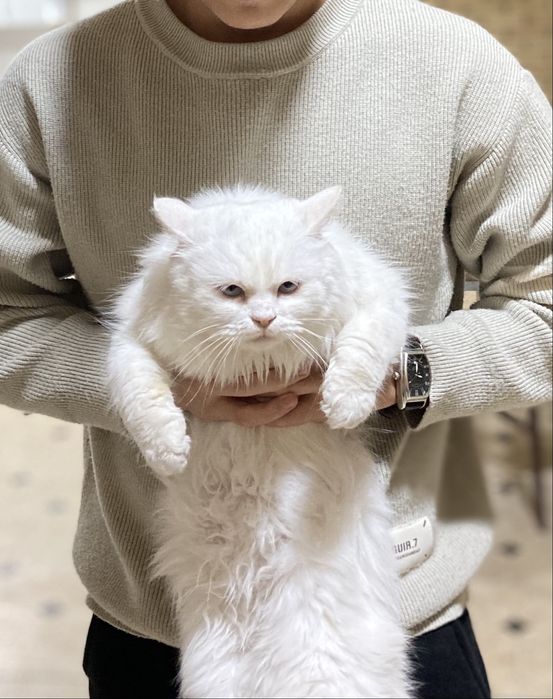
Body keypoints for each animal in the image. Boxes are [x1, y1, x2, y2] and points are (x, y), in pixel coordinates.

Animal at [107, 184, 413, 698]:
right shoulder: (129, 345)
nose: (265, 319)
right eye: (232, 292)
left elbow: (358, 355)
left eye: (288, 288)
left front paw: (342, 407)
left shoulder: (381, 304)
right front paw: (169, 451)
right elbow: (144, 401)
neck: (259, 366)